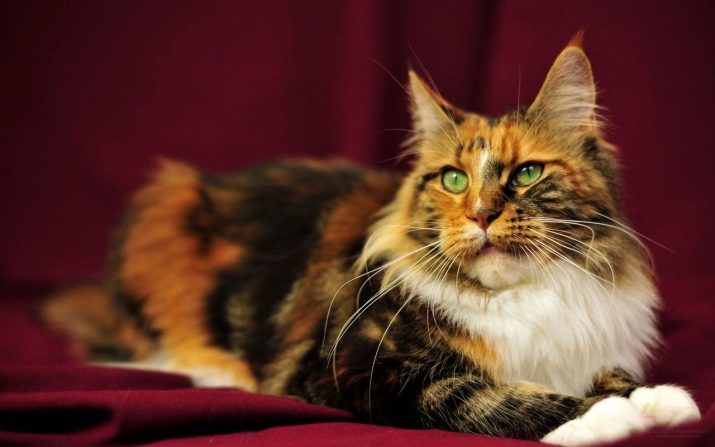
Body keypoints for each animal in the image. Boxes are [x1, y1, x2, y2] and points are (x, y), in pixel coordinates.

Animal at [42, 36, 704, 446]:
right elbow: (486, 398)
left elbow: (613, 377)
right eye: (455, 179)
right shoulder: (357, 370)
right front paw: (605, 417)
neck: (521, 298)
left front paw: (659, 401)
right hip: (163, 209)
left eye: (526, 174)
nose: (482, 216)